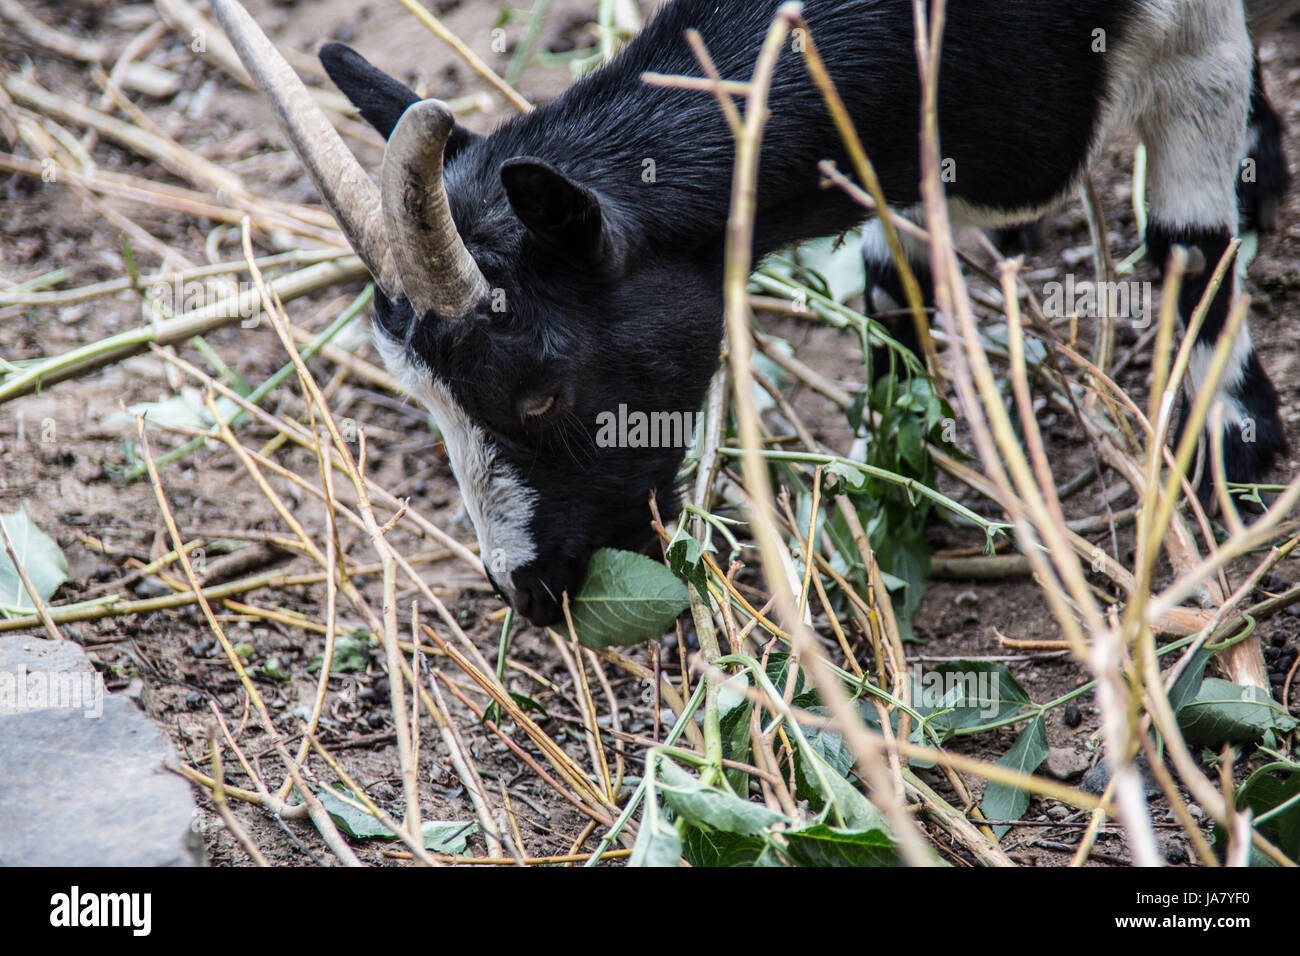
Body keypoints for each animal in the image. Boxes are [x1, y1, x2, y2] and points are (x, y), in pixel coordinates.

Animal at [211, 0, 1287, 626]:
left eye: (539, 393)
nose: (525, 588)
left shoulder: (1191, 38)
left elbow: (1190, 243)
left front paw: (1235, 446)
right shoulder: (906, 152)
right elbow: (890, 275)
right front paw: (894, 472)